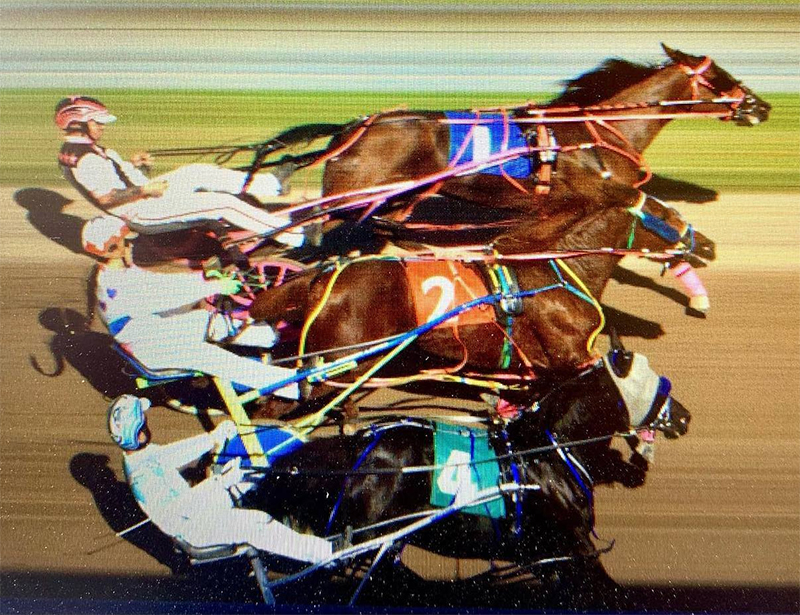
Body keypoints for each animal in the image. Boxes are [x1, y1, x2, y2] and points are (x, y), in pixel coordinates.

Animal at [241, 344, 691, 608]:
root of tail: (356, 448)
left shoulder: (549, 557)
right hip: (373, 537)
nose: (685, 417)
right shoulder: (574, 543)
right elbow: (609, 589)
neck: (545, 452)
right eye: (656, 383)